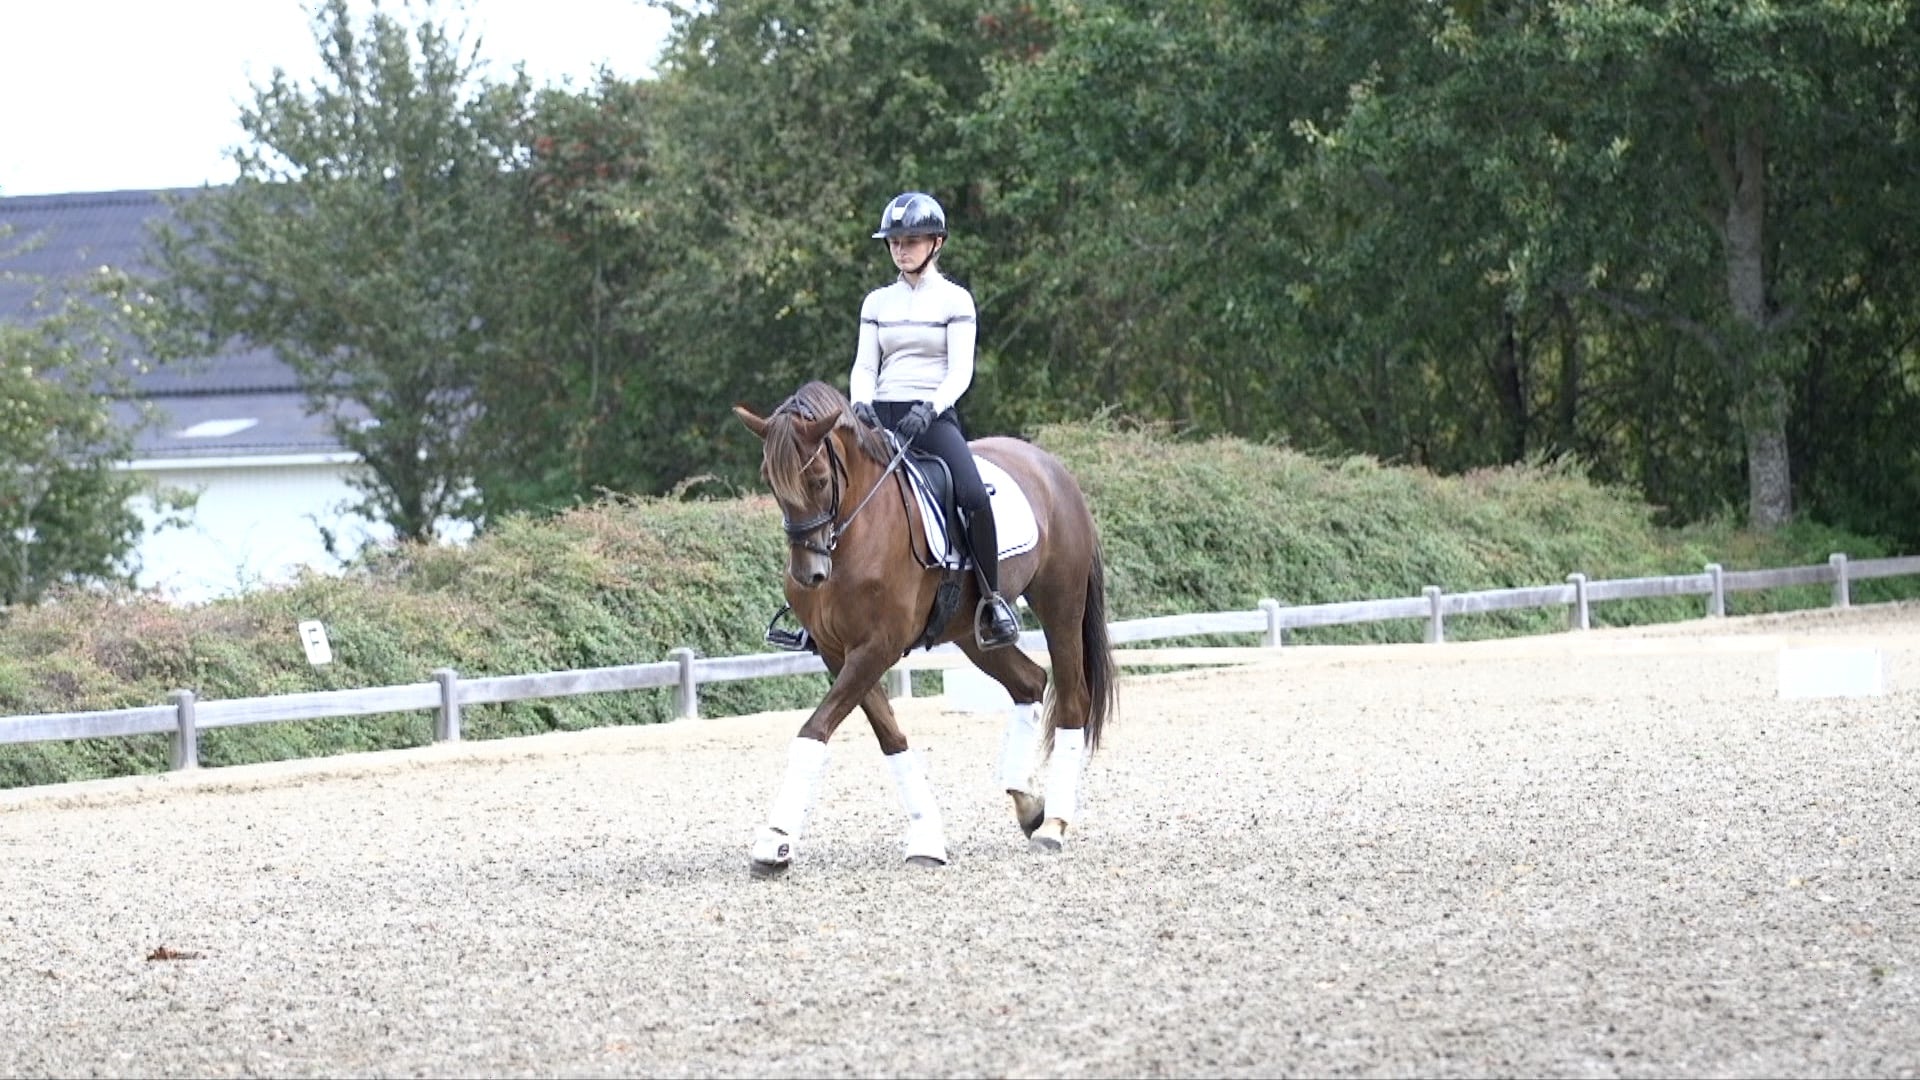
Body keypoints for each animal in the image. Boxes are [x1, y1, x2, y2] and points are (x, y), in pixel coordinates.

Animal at [732, 380, 1117, 876]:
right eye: (771, 483)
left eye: (818, 479)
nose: (809, 575)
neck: (857, 531)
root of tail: (1053, 469)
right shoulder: (839, 653)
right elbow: (890, 737)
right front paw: (927, 837)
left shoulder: (877, 646)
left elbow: (814, 730)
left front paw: (775, 839)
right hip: (971, 632)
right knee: (1030, 681)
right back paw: (1028, 803)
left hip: (1061, 607)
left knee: (1071, 700)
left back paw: (1053, 826)